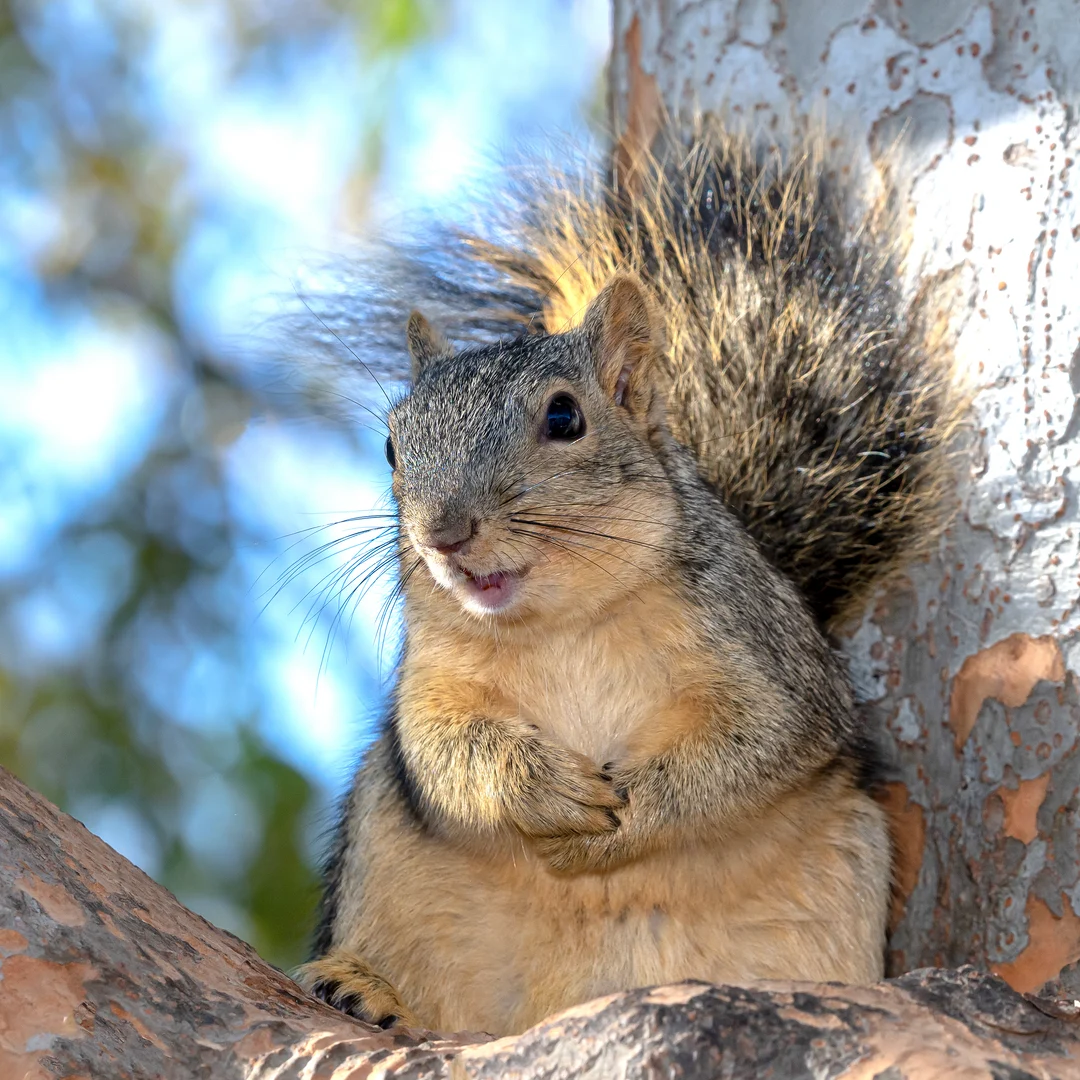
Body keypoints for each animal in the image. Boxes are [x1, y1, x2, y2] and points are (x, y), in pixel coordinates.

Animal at [293, 122, 964, 1037]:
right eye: (393, 446)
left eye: (565, 416)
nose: (443, 535)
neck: (565, 623)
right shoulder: (432, 679)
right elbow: (442, 752)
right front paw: (543, 789)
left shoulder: (767, 655)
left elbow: (757, 746)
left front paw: (629, 815)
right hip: (385, 857)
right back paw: (364, 987)